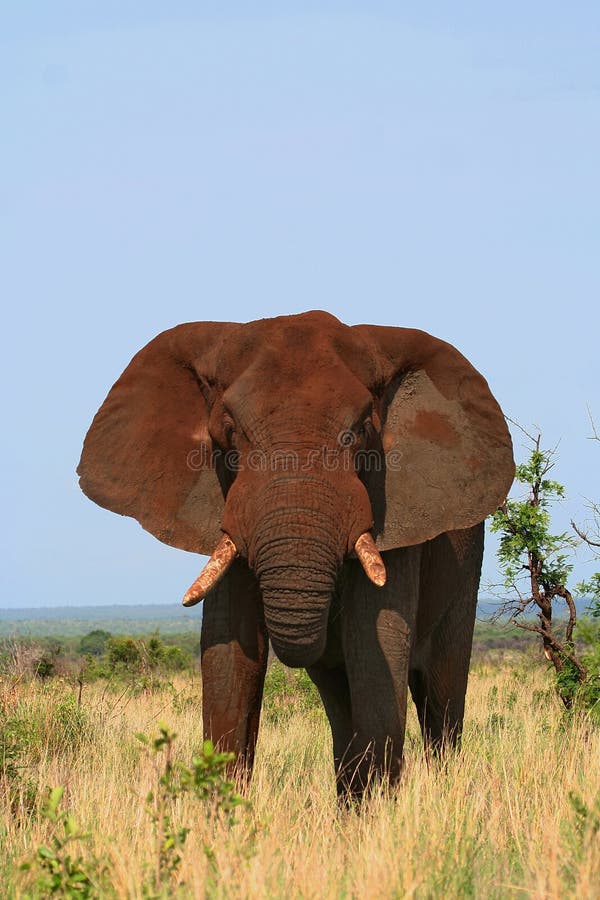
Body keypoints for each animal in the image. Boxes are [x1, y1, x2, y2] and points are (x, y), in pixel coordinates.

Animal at [78, 310, 514, 797]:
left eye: (360, 430)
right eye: (230, 432)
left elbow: (376, 651)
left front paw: (378, 813)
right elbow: (228, 657)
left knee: (440, 695)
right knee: (340, 699)